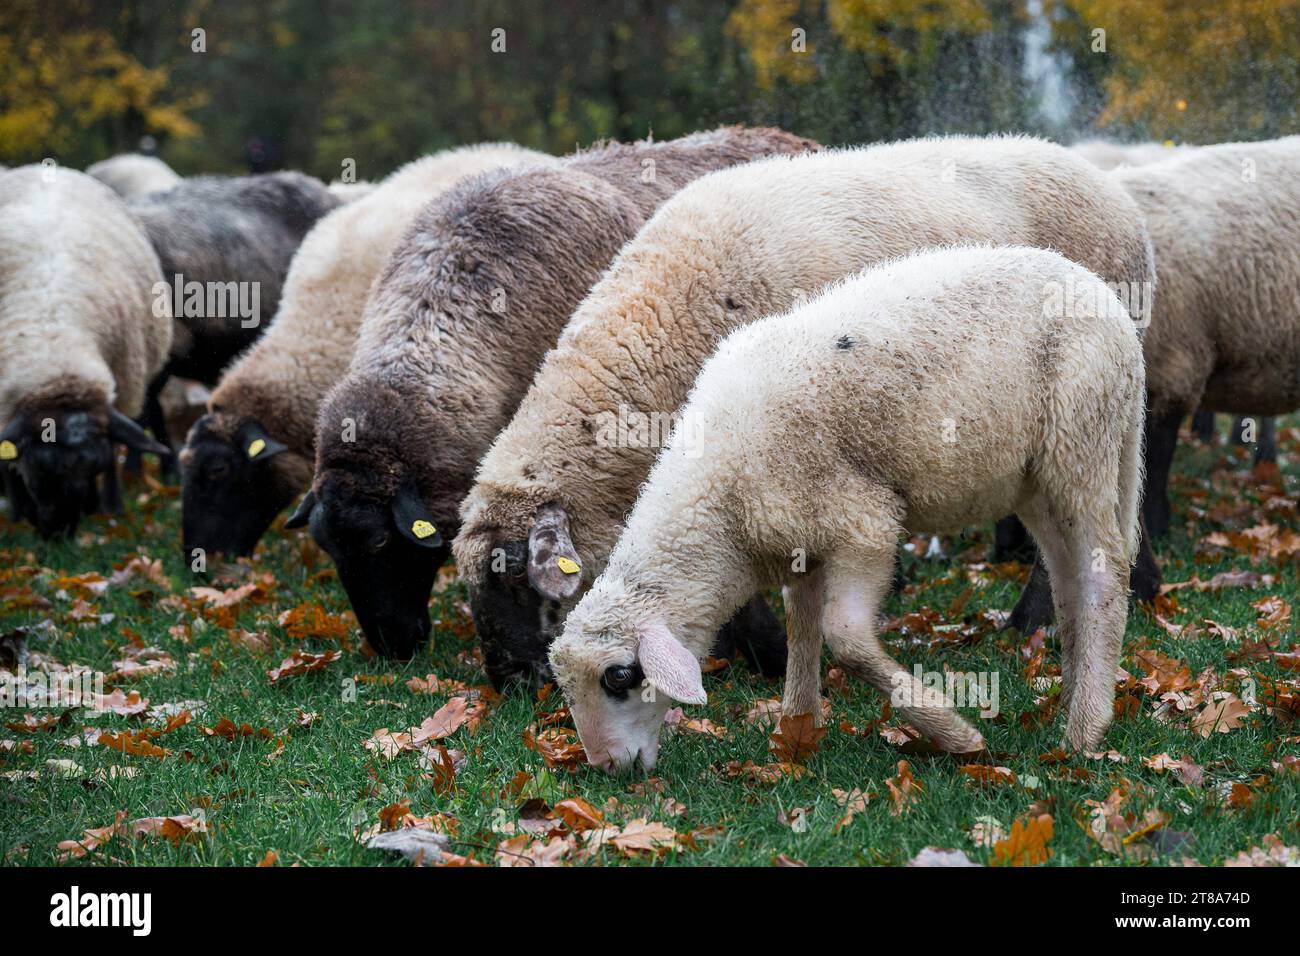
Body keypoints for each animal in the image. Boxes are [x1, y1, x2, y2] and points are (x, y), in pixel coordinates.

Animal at [549, 245, 1146, 771]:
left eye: (619, 677)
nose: (606, 767)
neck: (721, 508)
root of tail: (1108, 302)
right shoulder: (799, 541)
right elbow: (803, 630)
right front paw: (795, 731)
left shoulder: (863, 522)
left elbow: (846, 640)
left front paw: (954, 733)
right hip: (1037, 479)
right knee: (1068, 575)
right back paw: (1073, 696)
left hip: (1082, 436)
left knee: (1106, 572)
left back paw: (1085, 730)